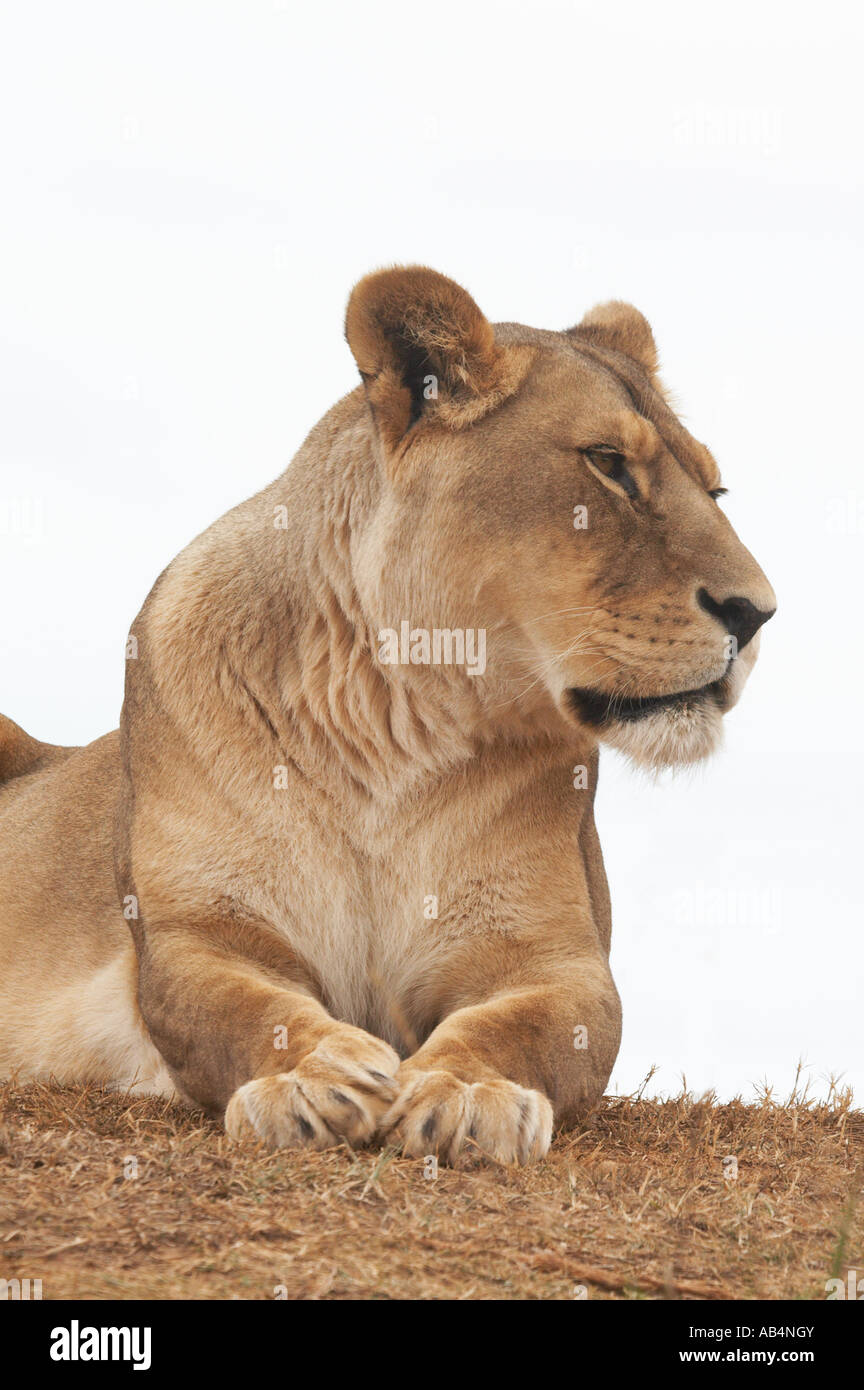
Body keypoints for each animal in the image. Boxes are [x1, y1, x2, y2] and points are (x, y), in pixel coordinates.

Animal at [0, 267, 775, 1164]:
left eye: (714, 488)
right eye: (609, 464)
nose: (759, 612)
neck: (389, 730)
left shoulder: (554, 958)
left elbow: (522, 1026)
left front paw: (467, 1094)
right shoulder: (195, 935)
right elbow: (250, 1009)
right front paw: (314, 1077)